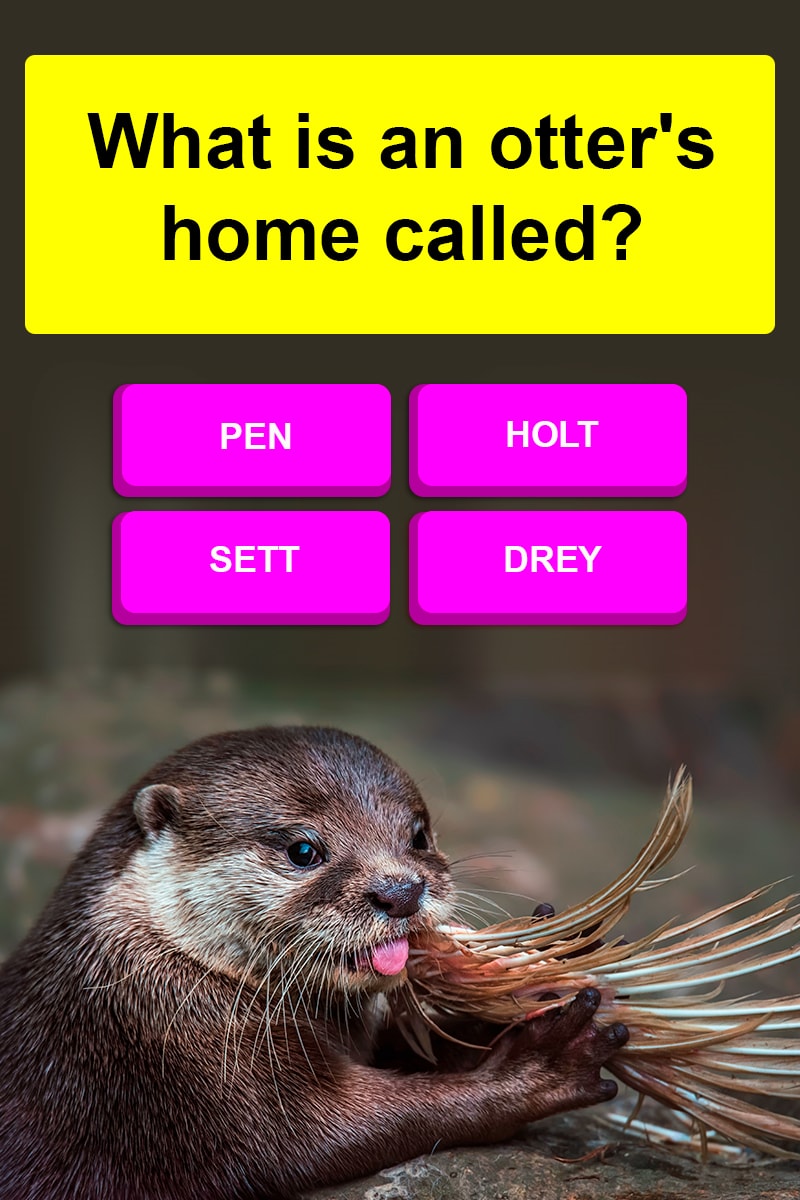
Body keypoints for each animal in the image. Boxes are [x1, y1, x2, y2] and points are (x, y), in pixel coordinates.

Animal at [0, 726, 628, 1199]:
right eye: (304, 850)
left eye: (419, 835)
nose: (400, 890)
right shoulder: (187, 1057)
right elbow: (325, 1132)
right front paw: (540, 1065)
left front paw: (525, 983)